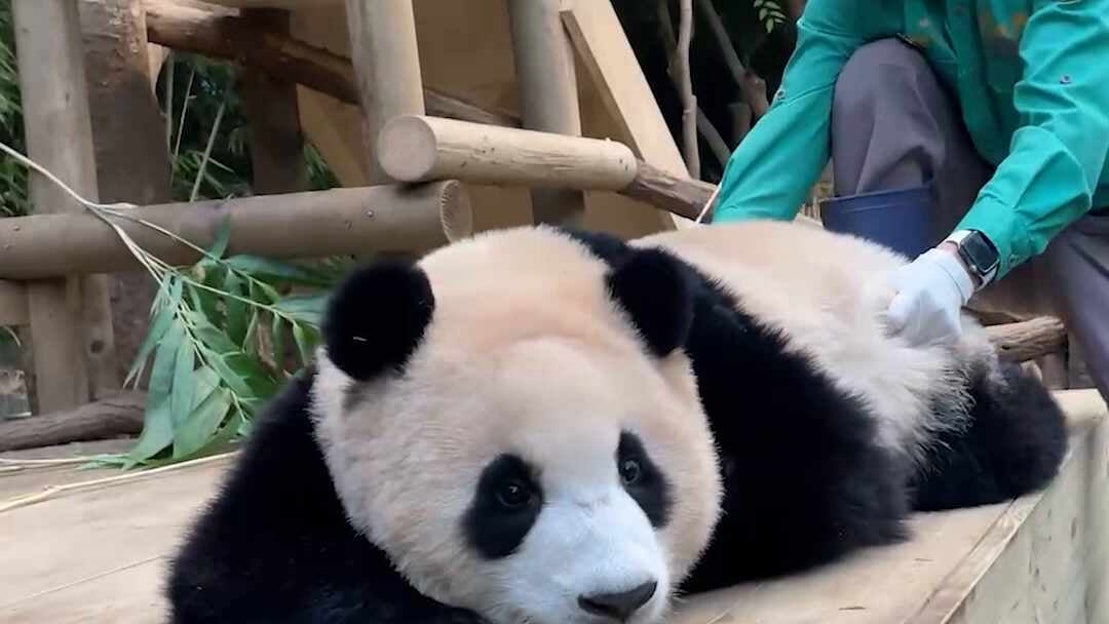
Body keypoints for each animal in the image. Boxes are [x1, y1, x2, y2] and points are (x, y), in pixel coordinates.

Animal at [166, 220, 1067, 624]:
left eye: (636, 471)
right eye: (509, 494)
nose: (620, 598)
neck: (512, 273)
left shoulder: (722, 353)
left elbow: (823, 483)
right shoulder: (313, 441)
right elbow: (235, 576)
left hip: (923, 370)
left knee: (995, 435)